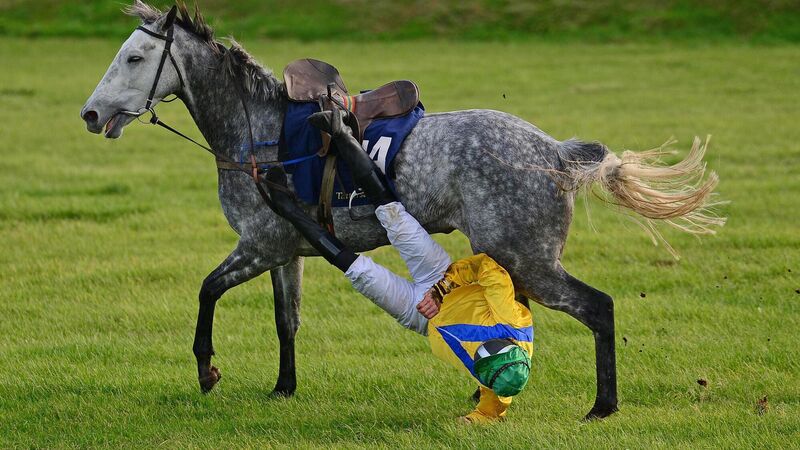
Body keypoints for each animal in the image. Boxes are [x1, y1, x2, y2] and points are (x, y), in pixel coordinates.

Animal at [80, 1, 724, 420]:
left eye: (135, 57)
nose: (90, 114)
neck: (258, 131)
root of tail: (557, 153)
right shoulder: (287, 251)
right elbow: (286, 321)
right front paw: (283, 388)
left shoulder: (258, 245)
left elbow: (207, 291)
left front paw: (207, 371)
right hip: (517, 262)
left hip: (531, 261)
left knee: (598, 308)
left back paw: (602, 407)